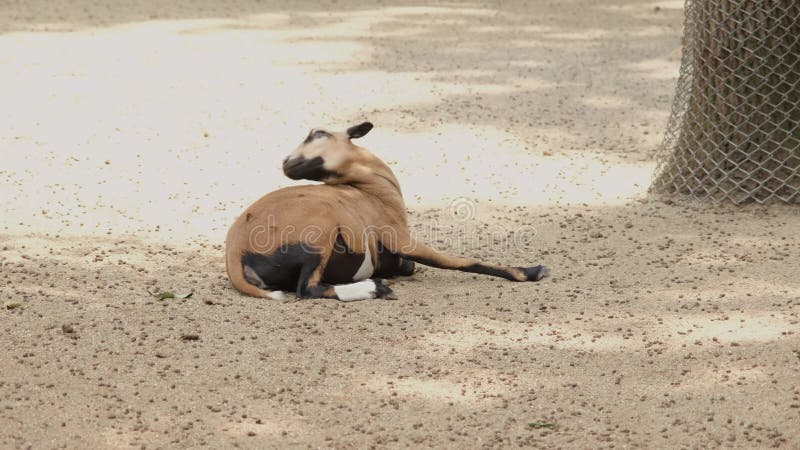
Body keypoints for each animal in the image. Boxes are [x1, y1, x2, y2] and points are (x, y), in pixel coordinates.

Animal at [225, 122, 549, 301]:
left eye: (318, 133)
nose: (285, 162)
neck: (372, 191)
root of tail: (235, 252)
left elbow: (412, 266)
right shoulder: (400, 239)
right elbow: (463, 261)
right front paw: (531, 271)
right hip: (318, 237)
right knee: (307, 290)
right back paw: (376, 288)